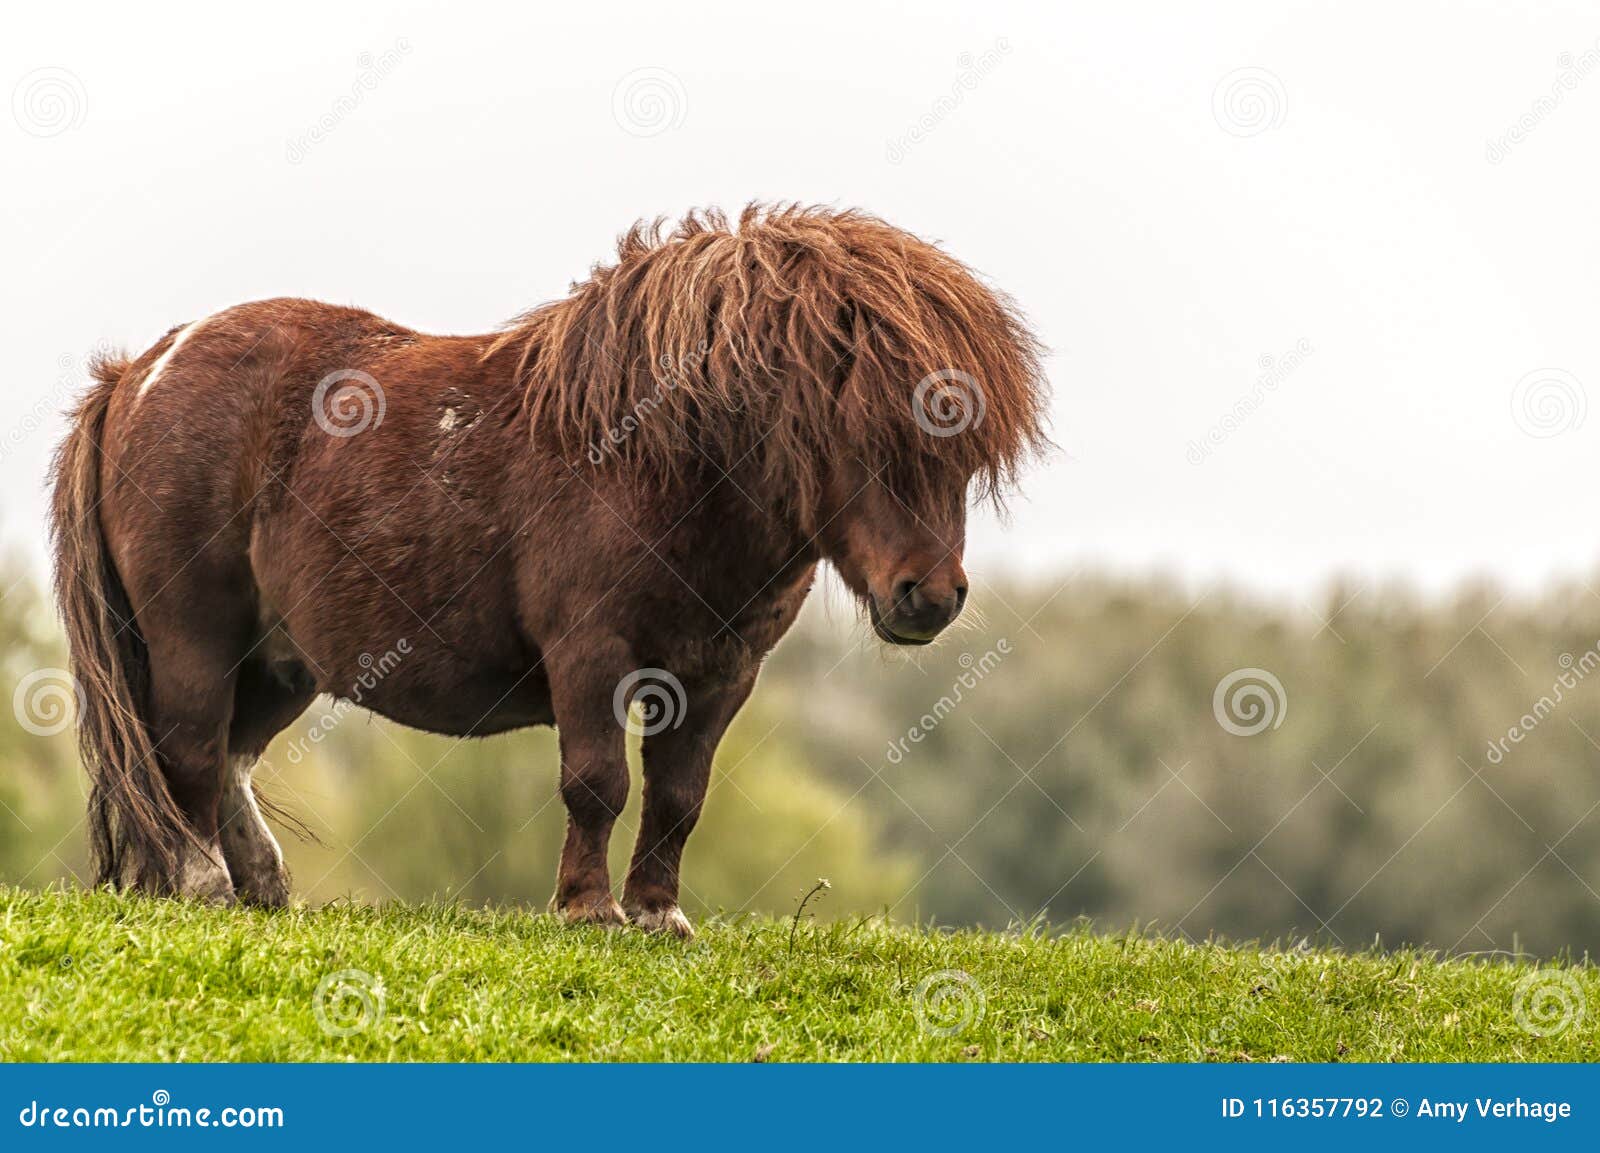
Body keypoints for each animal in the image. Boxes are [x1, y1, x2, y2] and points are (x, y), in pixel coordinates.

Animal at [49, 204, 1047, 937]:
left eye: (966, 454)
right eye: (868, 434)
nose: (929, 597)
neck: (662, 458)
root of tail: (141, 371)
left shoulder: (722, 673)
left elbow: (679, 795)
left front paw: (658, 913)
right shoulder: (590, 653)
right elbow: (597, 782)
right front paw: (588, 909)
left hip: (283, 661)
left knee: (231, 755)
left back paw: (260, 885)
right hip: (194, 635)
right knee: (187, 747)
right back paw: (204, 883)